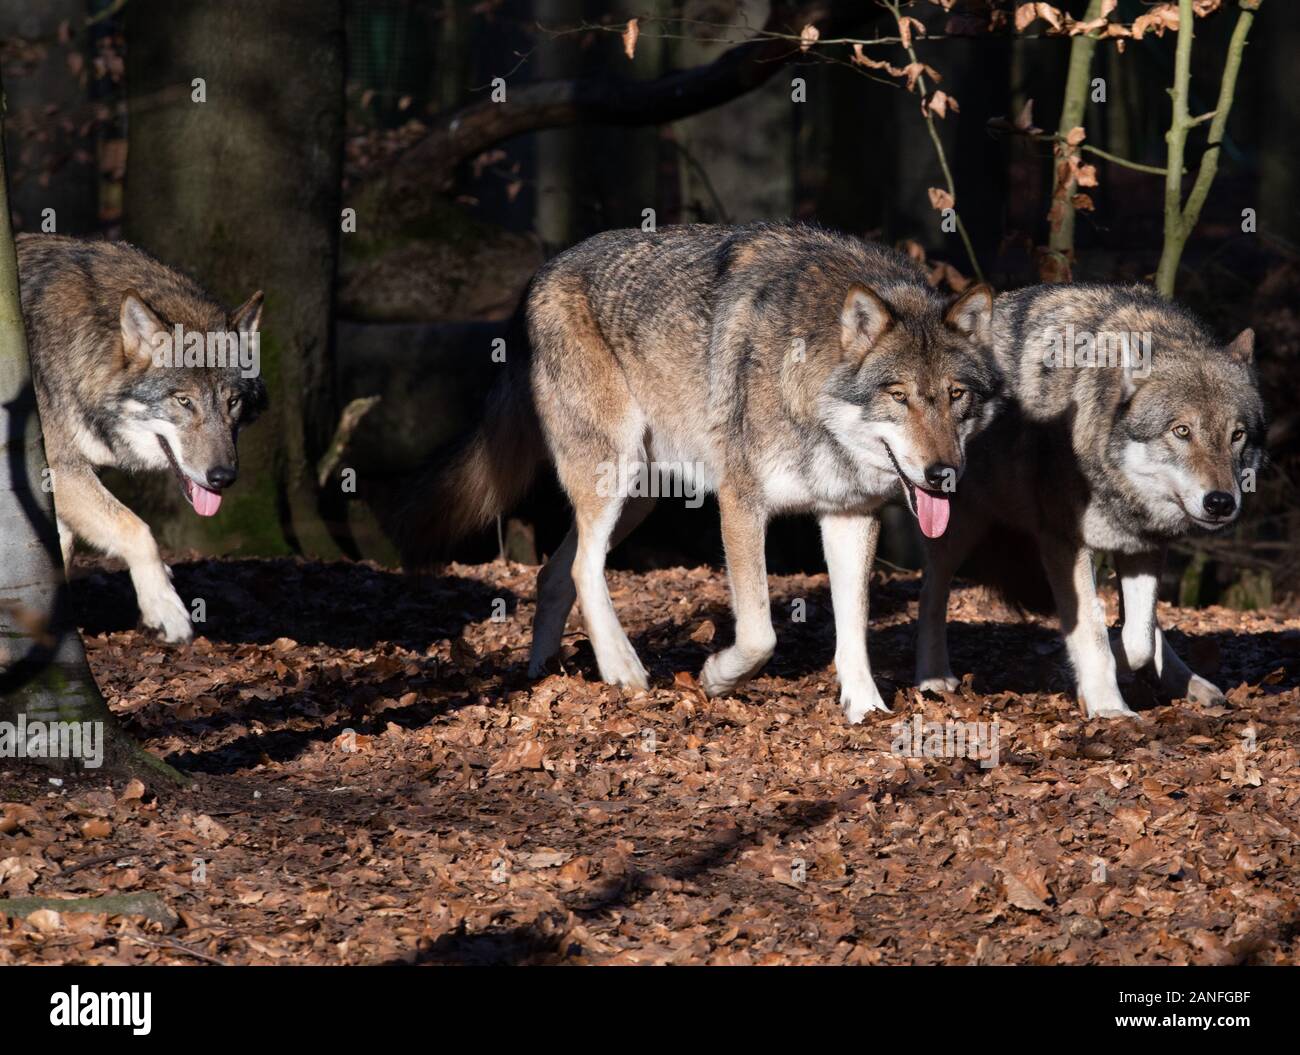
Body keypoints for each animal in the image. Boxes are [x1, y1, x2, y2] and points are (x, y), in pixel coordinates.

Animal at [18, 234, 267, 643]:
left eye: (233, 402)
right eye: (184, 401)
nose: (223, 478)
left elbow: (63, 552)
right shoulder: (55, 467)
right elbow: (137, 529)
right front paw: (164, 608)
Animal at [410, 223, 1000, 722]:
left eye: (956, 396)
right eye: (899, 397)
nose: (943, 474)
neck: (809, 389)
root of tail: (540, 275)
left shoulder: (850, 514)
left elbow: (853, 626)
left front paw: (866, 709)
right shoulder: (740, 504)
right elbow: (760, 634)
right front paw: (718, 678)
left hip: (640, 496)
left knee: (554, 573)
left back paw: (543, 676)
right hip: (613, 473)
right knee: (582, 568)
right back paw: (622, 670)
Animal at [914, 283, 1265, 718]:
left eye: (1237, 435)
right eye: (1181, 431)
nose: (1220, 502)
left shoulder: (1144, 545)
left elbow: (1137, 639)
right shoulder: (1064, 543)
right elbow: (1093, 632)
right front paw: (1108, 706)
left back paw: (1191, 683)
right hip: (958, 529)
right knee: (930, 595)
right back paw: (933, 678)